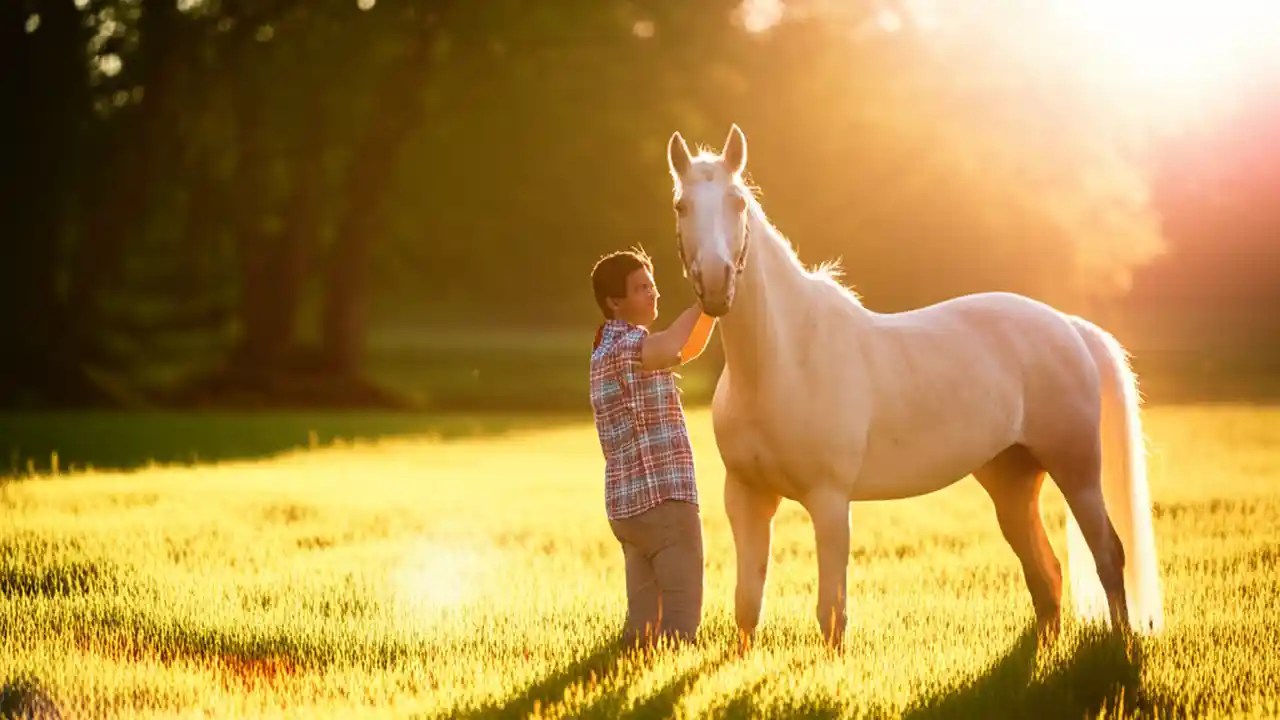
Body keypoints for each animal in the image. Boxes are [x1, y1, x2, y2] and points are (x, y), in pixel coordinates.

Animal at [665, 124, 1164, 647]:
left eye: (737, 201)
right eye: (681, 205)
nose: (716, 283)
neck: (783, 360)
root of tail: (1069, 326)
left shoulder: (829, 500)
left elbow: (831, 615)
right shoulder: (746, 498)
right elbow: (747, 605)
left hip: (1077, 472)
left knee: (1108, 553)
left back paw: (1120, 644)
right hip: (1010, 481)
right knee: (1045, 574)